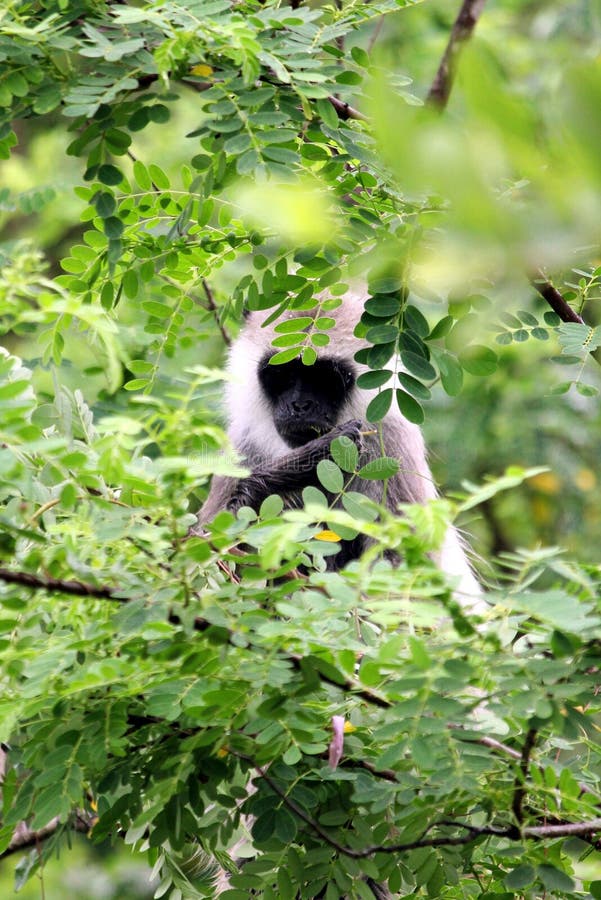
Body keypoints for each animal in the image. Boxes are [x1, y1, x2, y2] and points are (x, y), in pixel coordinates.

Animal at [194, 290, 480, 600]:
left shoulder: (391, 443)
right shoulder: (242, 446)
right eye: (283, 374)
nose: (300, 405)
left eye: (324, 378)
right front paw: (299, 466)